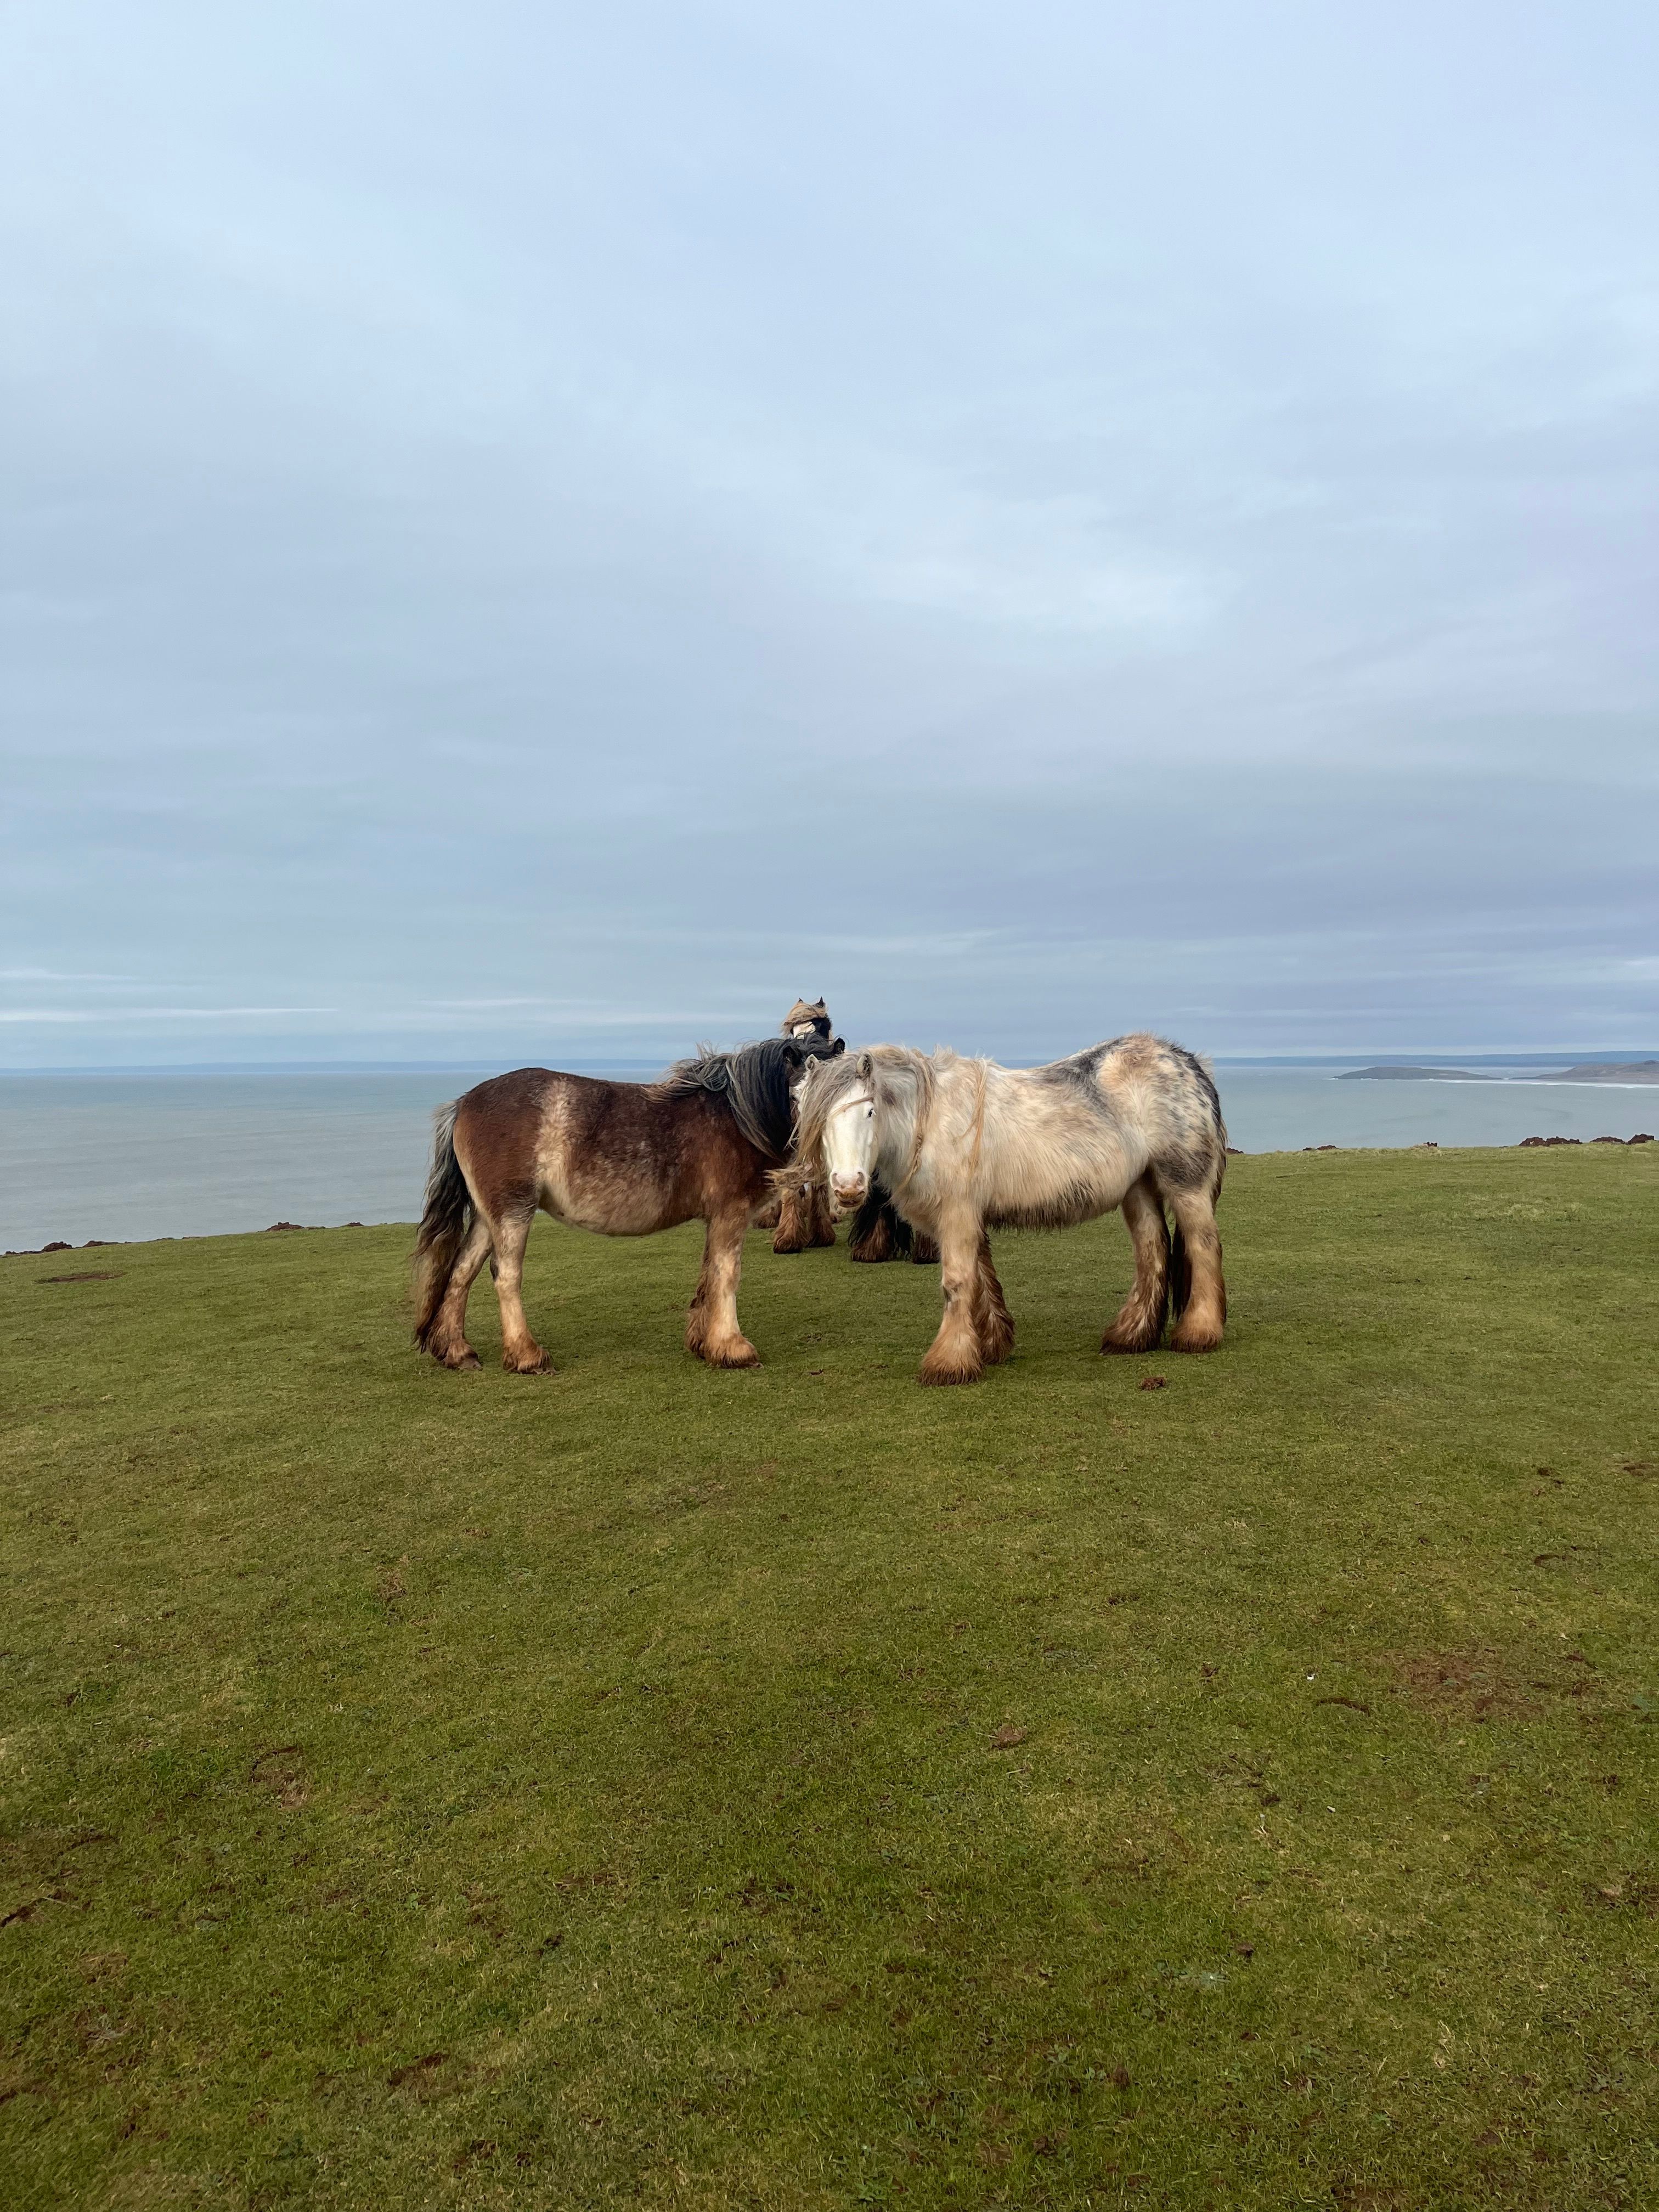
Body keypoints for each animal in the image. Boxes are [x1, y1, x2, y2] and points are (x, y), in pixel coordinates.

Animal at [413, 1036, 838, 1374]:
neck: (737, 1116)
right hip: (513, 1211)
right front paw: (733, 1348)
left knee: (461, 1272)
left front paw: (704, 1344)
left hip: (489, 1216)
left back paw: (457, 1351)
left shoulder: (717, 1218)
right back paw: (527, 1356)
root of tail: (464, 1103)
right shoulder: (731, 1212)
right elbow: (726, 1275)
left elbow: (709, 1275)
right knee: (505, 1277)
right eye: (801, 1093)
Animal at [789, 1034, 1228, 1385]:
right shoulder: (968, 1215)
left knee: (1202, 1246)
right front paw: (990, 1347)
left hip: (1185, 1184)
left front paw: (948, 1363)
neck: (927, 1122)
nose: (848, 1188)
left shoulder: (957, 1213)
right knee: (1152, 1251)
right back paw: (1130, 1336)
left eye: (870, 1111)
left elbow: (956, 1282)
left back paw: (1199, 1333)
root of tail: (1189, 1064)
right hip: (1138, 1189)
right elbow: (982, 1277)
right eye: (816, 1118)